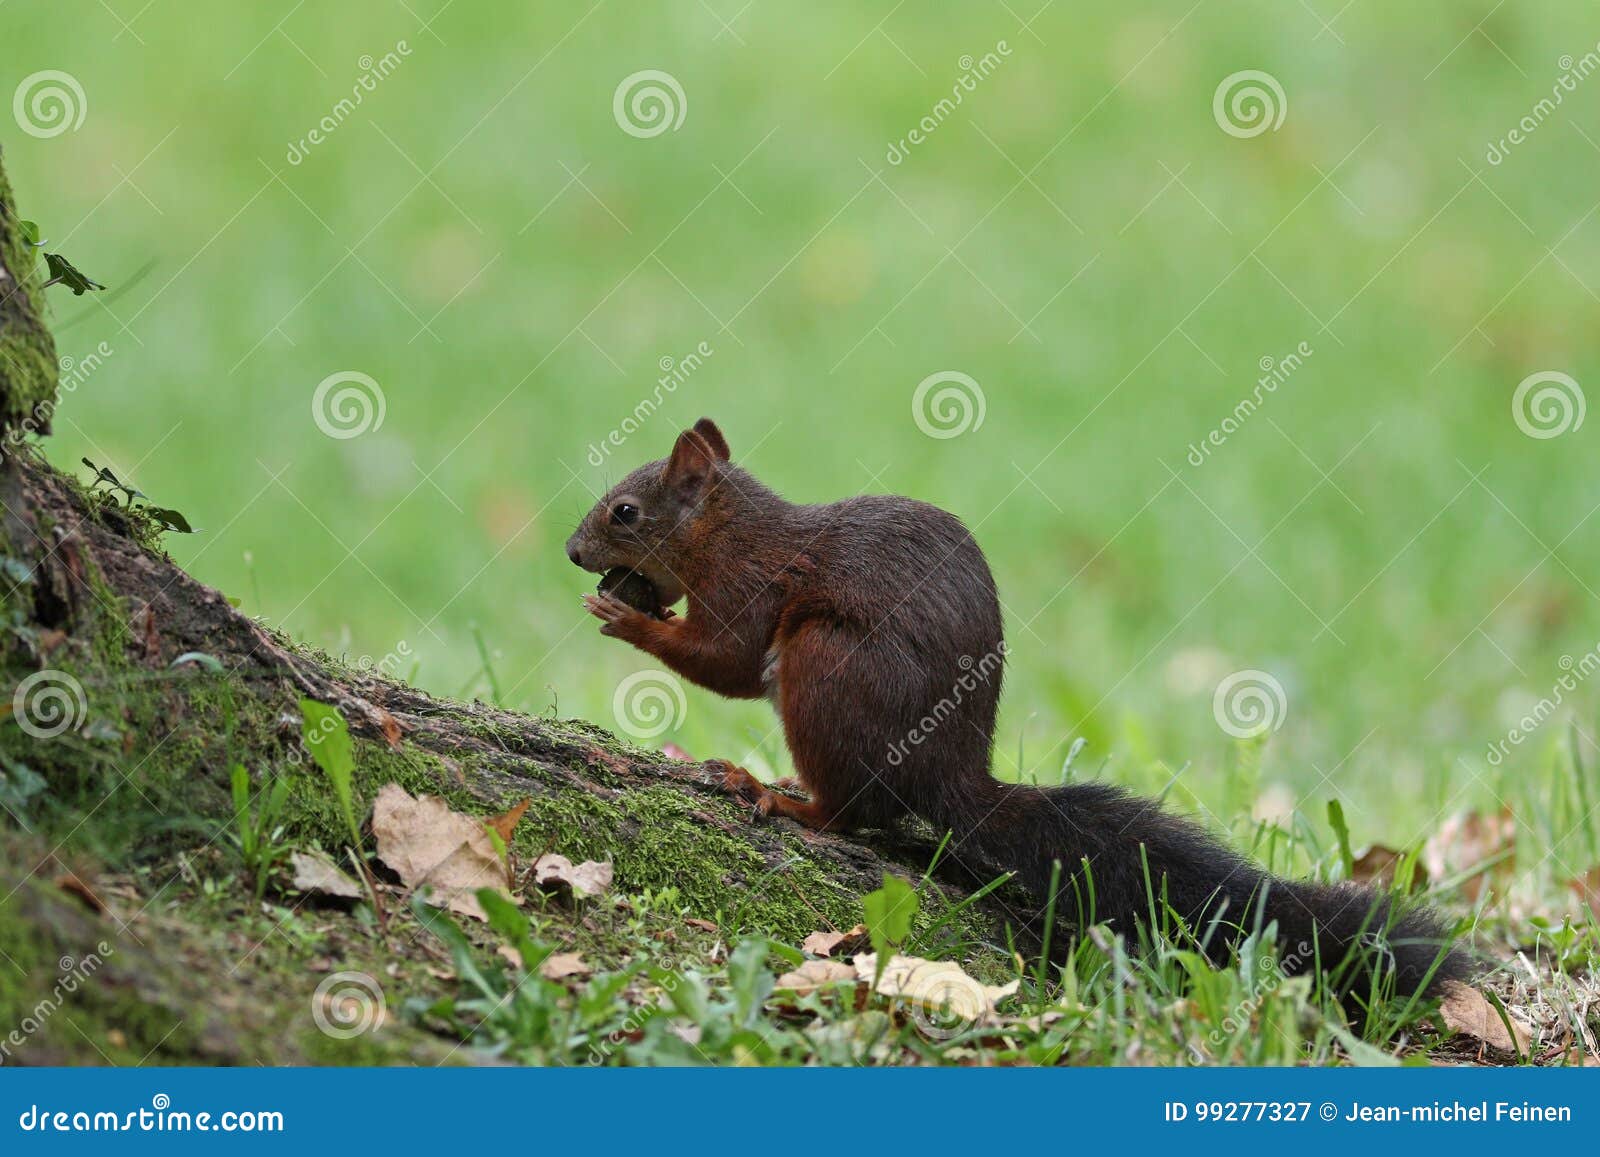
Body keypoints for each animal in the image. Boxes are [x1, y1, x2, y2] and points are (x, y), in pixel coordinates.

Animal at [567, 418, 1466, 998]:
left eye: (625, 511)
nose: (574, 552)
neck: (727, 531)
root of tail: (955, 775)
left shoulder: (750, 584)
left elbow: (722, 660)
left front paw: (628, 619)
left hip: (829, 668)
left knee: (854, 814)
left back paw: (781, 795)